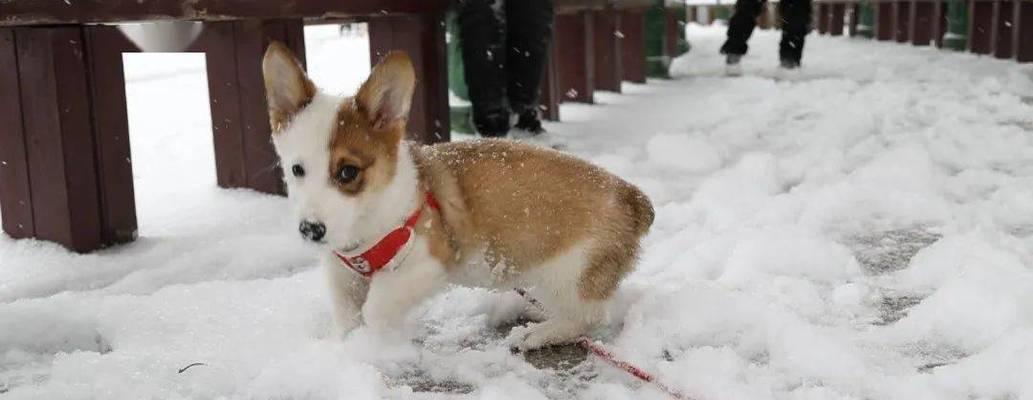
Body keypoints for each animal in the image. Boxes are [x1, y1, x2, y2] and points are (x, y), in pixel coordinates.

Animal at [264, 41, 652, 351]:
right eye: (296, 170)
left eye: (348, 172)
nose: (310, 230)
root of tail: (634, 199)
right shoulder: (342, 272)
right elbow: (346, 312)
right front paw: (347, 344)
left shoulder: (428, 262)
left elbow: (375, 308)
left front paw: (374, 341)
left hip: (570, 269)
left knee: (589, 315)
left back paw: (536, 334)